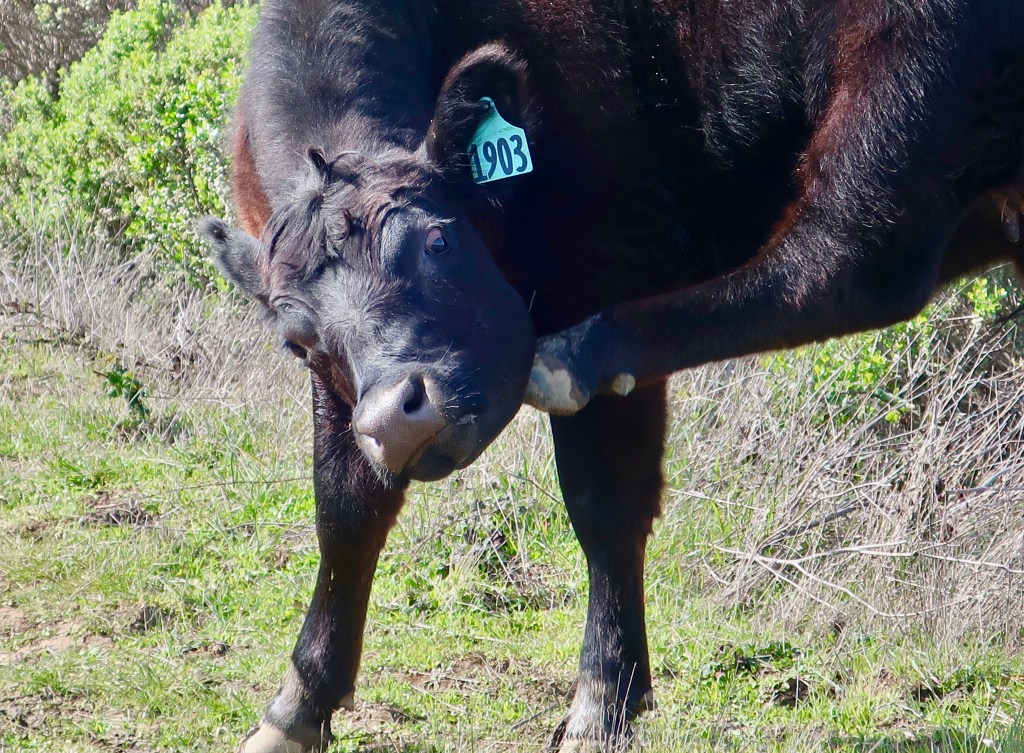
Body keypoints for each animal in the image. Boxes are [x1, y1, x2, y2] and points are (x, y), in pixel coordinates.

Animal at [199, 1, 1024, 751]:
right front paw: (298, 702)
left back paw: (582, 352)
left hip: (900, 83)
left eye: (437, 240)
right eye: (297, 339)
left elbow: (605, 506)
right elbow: (345, 509)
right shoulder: (342, 393)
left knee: (850, 253)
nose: (402, 418)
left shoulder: (610, 256)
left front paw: (603, 699)